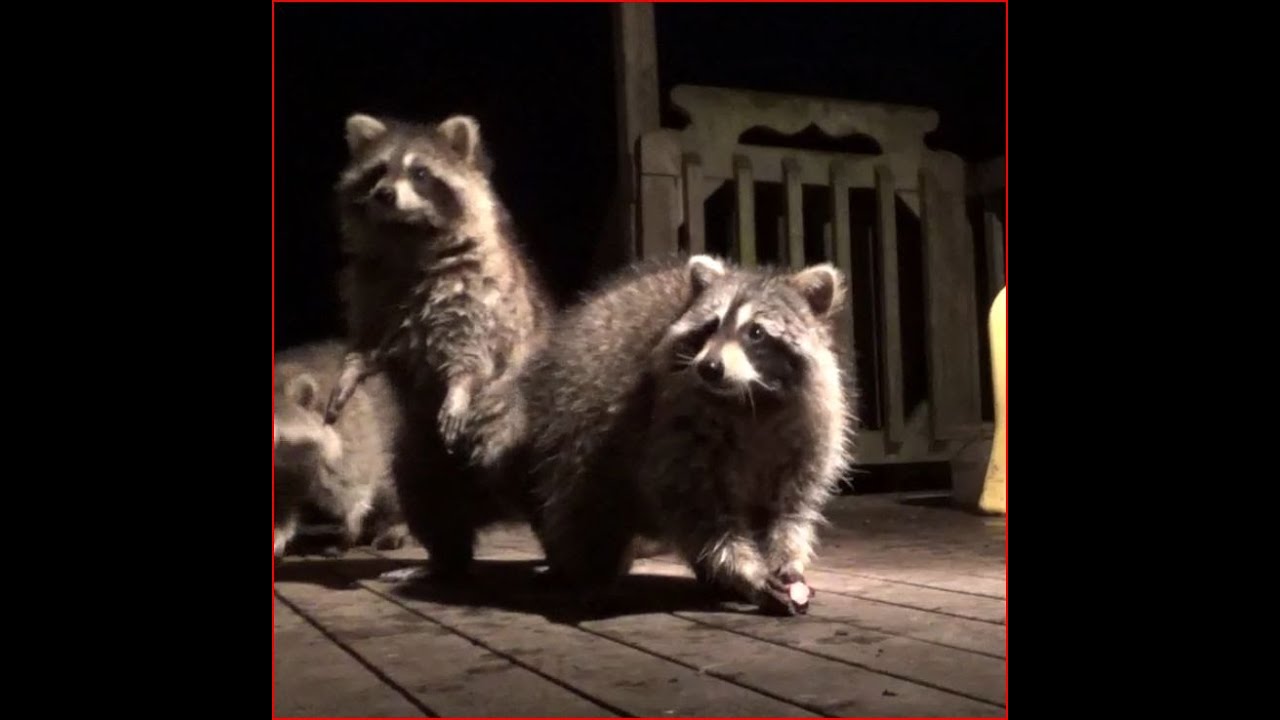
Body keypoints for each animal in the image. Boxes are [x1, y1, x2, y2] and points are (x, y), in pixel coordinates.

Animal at [327, 112, 553, 579]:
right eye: (378, 171)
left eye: (420, 173)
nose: (385, 194)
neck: (409, 239)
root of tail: (498, 505)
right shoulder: (374, 294)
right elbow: (365, 347)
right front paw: (349, 373)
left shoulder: (482, 296)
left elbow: (470, 354)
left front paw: (459, 388)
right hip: (422, 456)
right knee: (424, 497)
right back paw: (444, 562)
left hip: (523, 432)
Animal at [526, 254, 857, 615]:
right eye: (710, 326)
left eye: (755, 333)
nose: (709, 367)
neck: (748, 398)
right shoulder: (672, 426)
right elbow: (698, 510)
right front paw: (744, 569)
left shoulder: (810, 428)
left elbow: (790, 507)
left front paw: (786, 556)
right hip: (578, 425)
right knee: (585, 506)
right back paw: (588, 576)